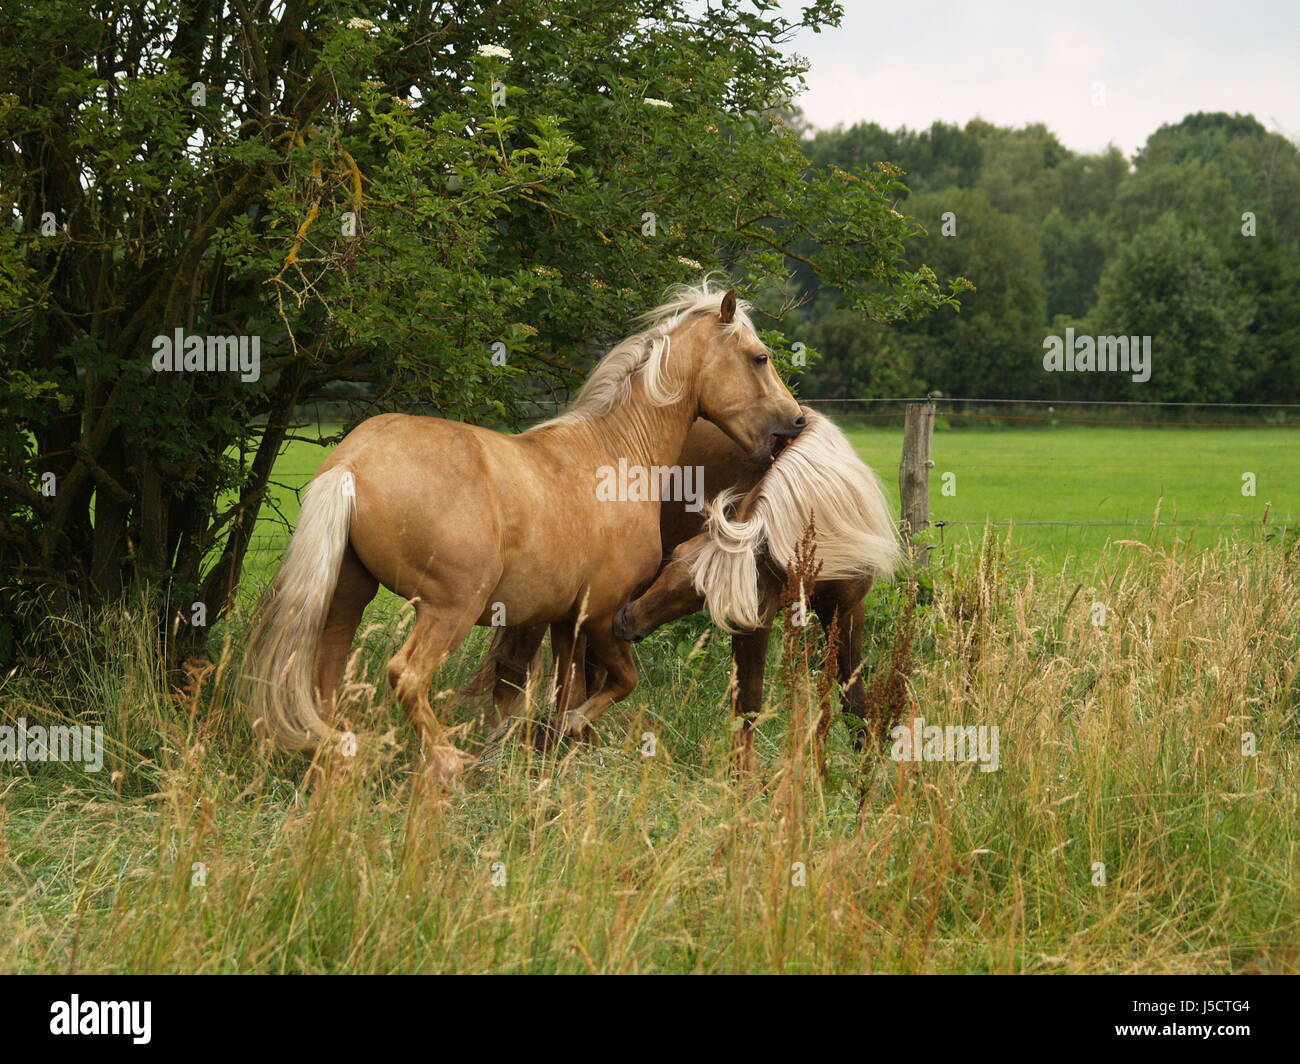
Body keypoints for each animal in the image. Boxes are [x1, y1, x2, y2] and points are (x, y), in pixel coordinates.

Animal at [241, 284, 806, 780]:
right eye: (759, 357)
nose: (795, 422)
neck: (617, 453)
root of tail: (351, 464)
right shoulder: (601, 615)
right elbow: (618, 682)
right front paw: (566, 735)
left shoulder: (562, 622)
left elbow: (563, 691)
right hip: (451, 605)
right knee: (407, 675)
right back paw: (449, 763)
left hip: (347, 598)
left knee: (322, 682)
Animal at [476, 409, 901, 763]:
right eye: (676, 558)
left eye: (700, 592)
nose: (625, 620)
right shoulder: (753, 623)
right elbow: (747, 704)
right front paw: (743, 787)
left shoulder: (845, 611)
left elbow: (854, 701)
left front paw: (864, 776)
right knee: (525, 666)